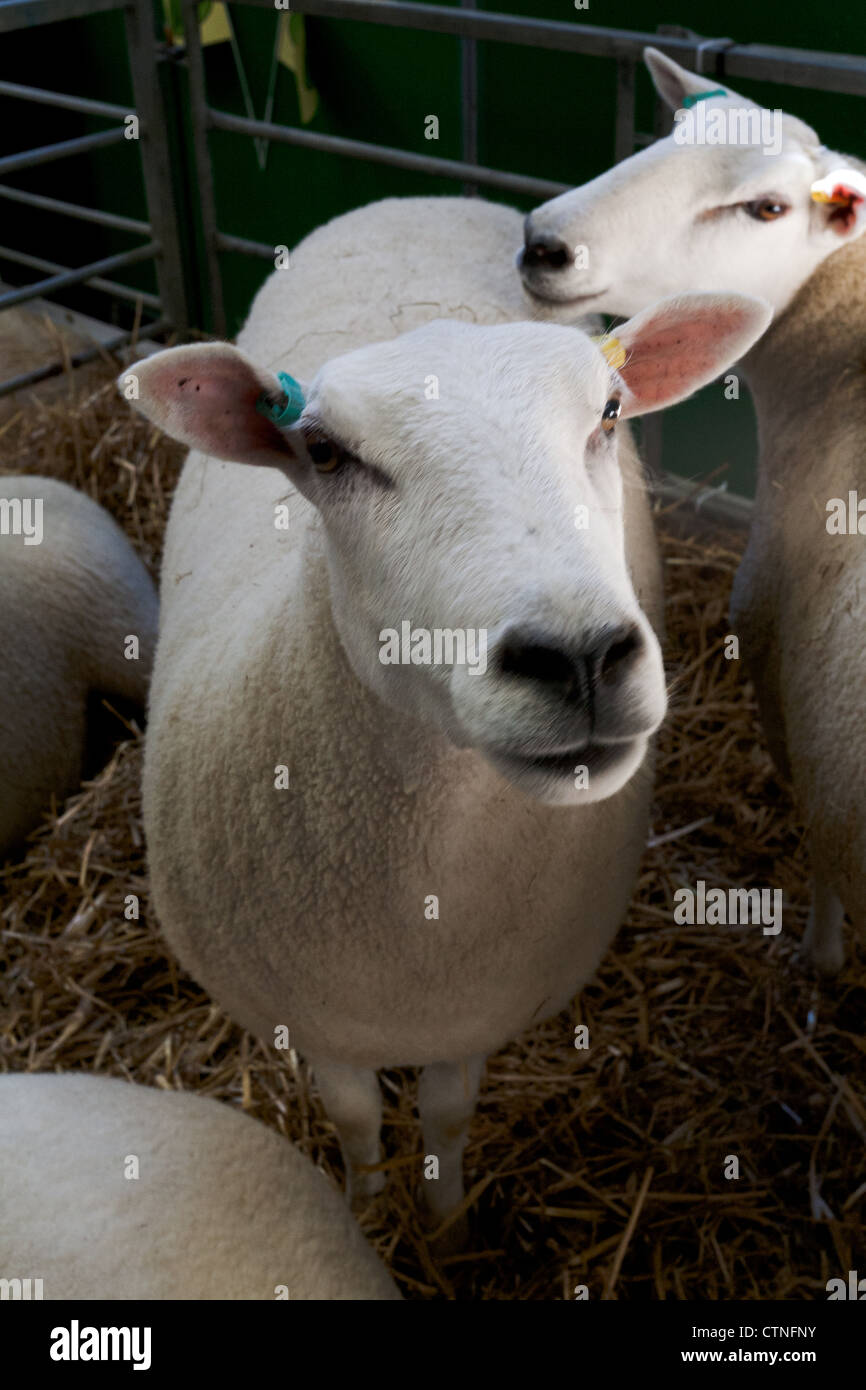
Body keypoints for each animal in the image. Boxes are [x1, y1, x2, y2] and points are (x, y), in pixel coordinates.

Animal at [122, 195, 770, 1223]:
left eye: (610, 413)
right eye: (325, 452)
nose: (580, 656)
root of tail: (415, 197)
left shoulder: (477, 1010)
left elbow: (449, 1116)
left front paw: (446, 1222)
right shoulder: (316, 1023)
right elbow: (355, 1122)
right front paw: (365, 1210)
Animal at [520, 55, 866, 976]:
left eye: (769, 208)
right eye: (671, 135)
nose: (544, 243)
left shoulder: (776, 657)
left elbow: (823, 860)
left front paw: (818, 956)